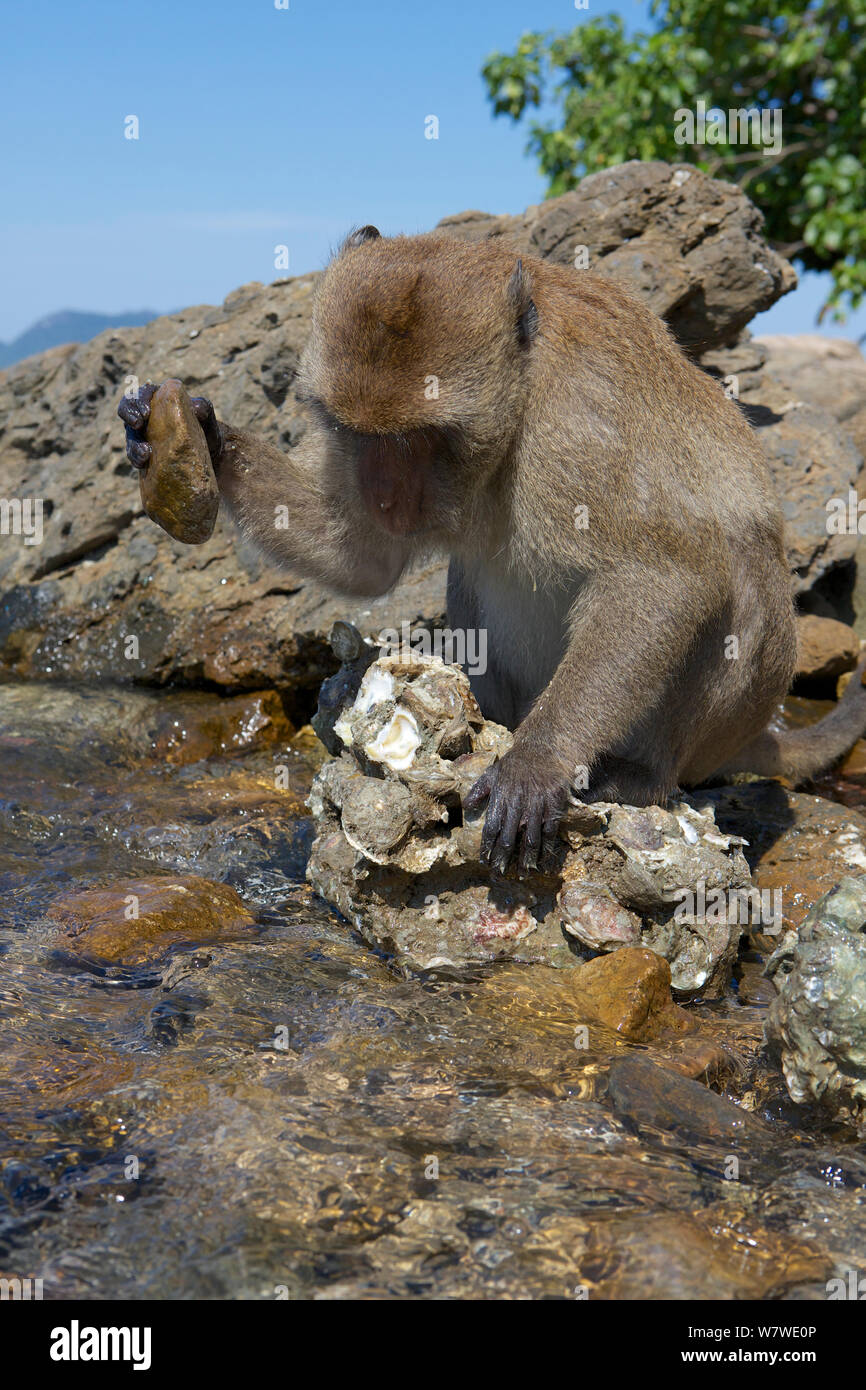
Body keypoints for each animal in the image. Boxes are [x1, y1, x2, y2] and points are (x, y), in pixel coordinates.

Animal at [119, 223, 866, 874]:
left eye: (420, 437)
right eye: (357, 433)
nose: (385, 497)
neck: (520, 399)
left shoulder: (580, 420)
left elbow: (667, 571)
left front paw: (539, 761)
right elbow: (360, 558)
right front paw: (191, 432)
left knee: (736, 568)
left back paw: (639, 778)